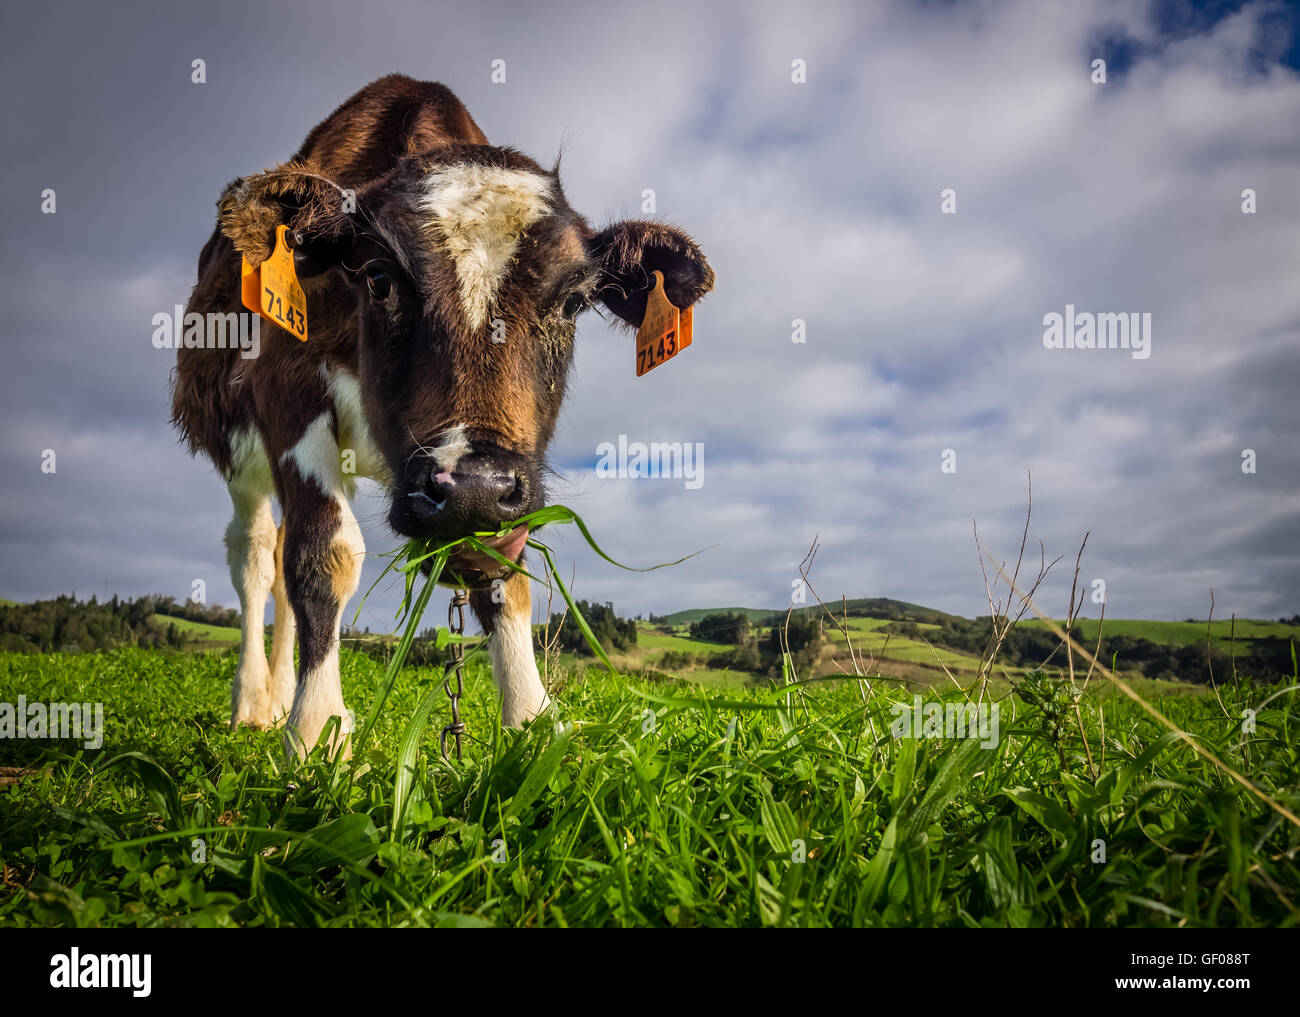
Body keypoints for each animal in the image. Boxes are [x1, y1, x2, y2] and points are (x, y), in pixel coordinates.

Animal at [171, 75, 714, 757]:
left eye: (572, 301)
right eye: (378, 278)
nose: (473, 486)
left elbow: (507, 574)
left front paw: (531, 722)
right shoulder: (288, 393)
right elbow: (323, 555)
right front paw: (316, 729)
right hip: (237, 450)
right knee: (258, 555)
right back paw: (253, 702)